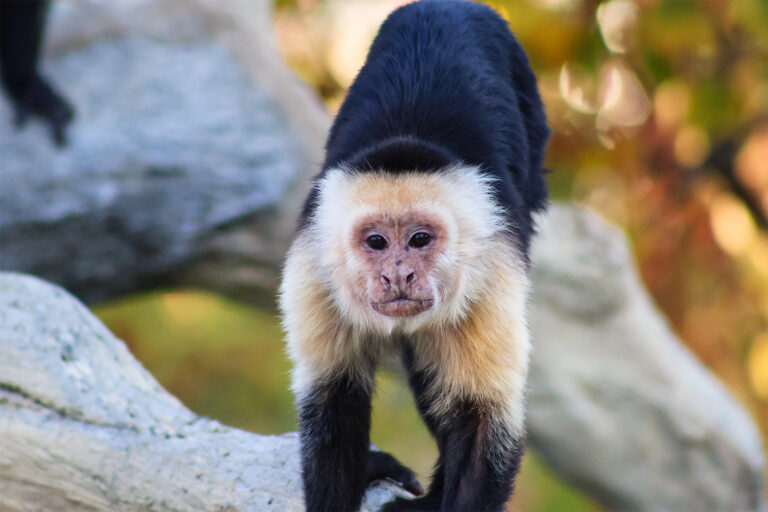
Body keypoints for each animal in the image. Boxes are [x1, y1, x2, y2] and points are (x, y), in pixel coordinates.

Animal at [279, 1, 549, 511]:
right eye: (377, 243)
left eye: (420, 239)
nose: (397, 275)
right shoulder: (314, 267)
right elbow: (333, 401)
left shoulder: (490, 269)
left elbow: (481, 420)